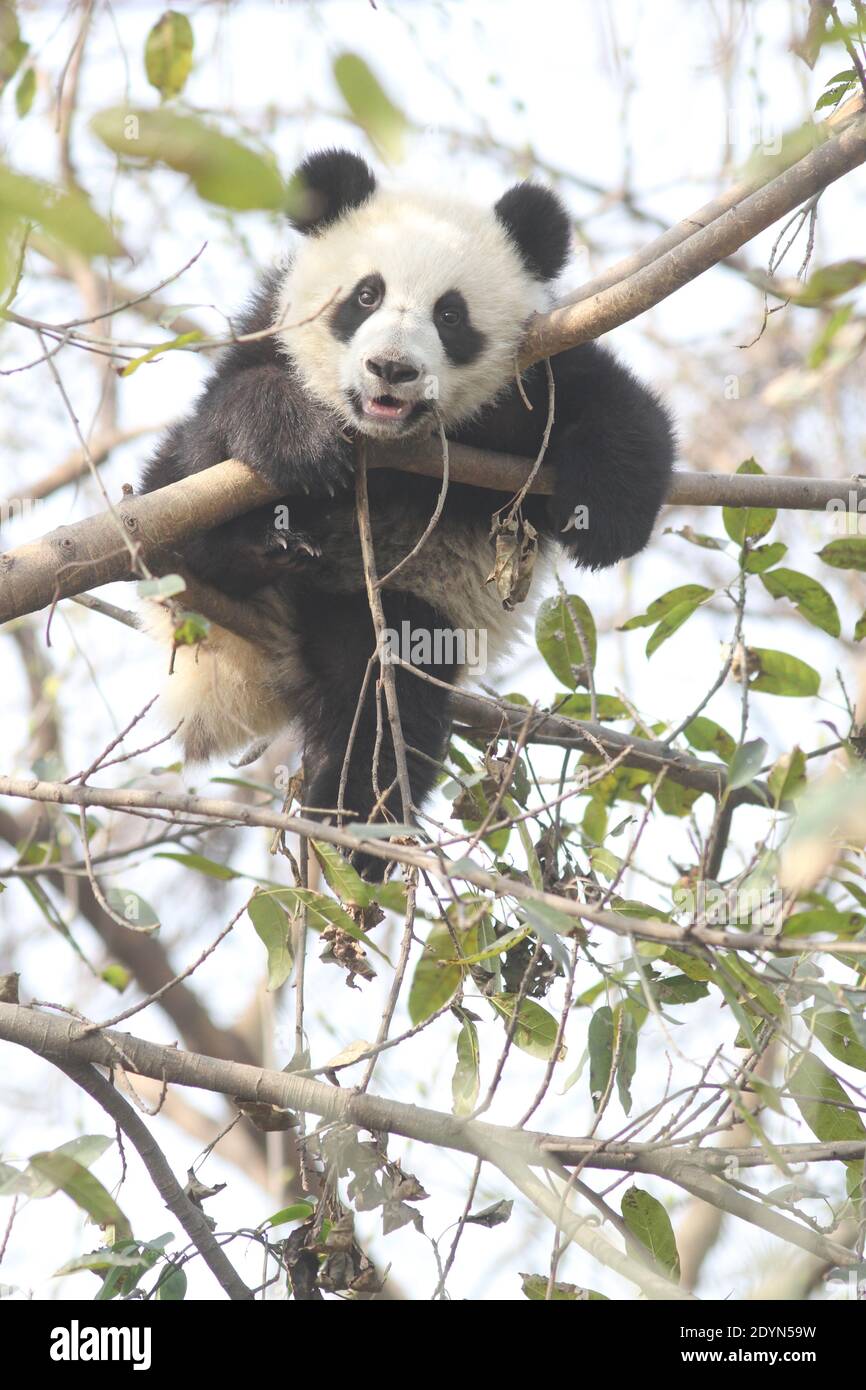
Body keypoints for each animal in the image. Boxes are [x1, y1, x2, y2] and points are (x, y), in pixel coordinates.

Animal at [142, 148, 675, 878]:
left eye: (451, 315)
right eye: (365, 295)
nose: (391, 369)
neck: (391, 445)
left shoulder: (528, 380)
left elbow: (613, 404)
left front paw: (609, 513)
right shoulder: (265, 337)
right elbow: (224, 417)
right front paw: (300, 443)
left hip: (401, 609)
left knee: (380, 696)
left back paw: (352, 823)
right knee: (173, 495)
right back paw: (254, 550)